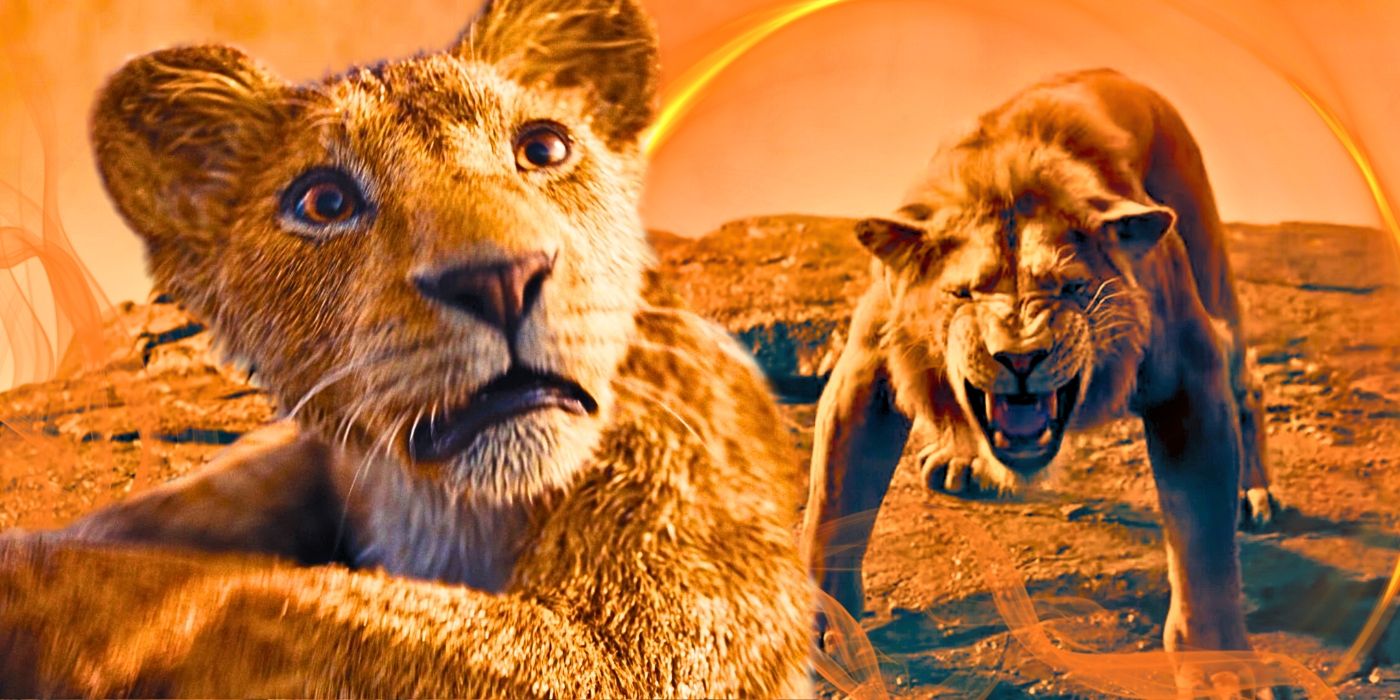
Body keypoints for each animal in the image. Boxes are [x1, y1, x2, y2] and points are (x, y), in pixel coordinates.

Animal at [0, 0, 812, 695]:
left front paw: (76, 608)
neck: (450, 510)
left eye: (543, 147)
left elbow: (264, 597)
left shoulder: (652, 638)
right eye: (324, 200)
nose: (500, 278)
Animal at [800, 69, 1273, 687]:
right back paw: (958, 461)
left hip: (1209, 260)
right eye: (964, 294)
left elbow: (1206, 546)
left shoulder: (1191, 370)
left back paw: (1253, 493)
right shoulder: (867, 367)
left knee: (1249, 385)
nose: (1020, 357)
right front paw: (821, 631)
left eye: (1071, 288)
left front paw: (1222, 670)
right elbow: (832, 508)